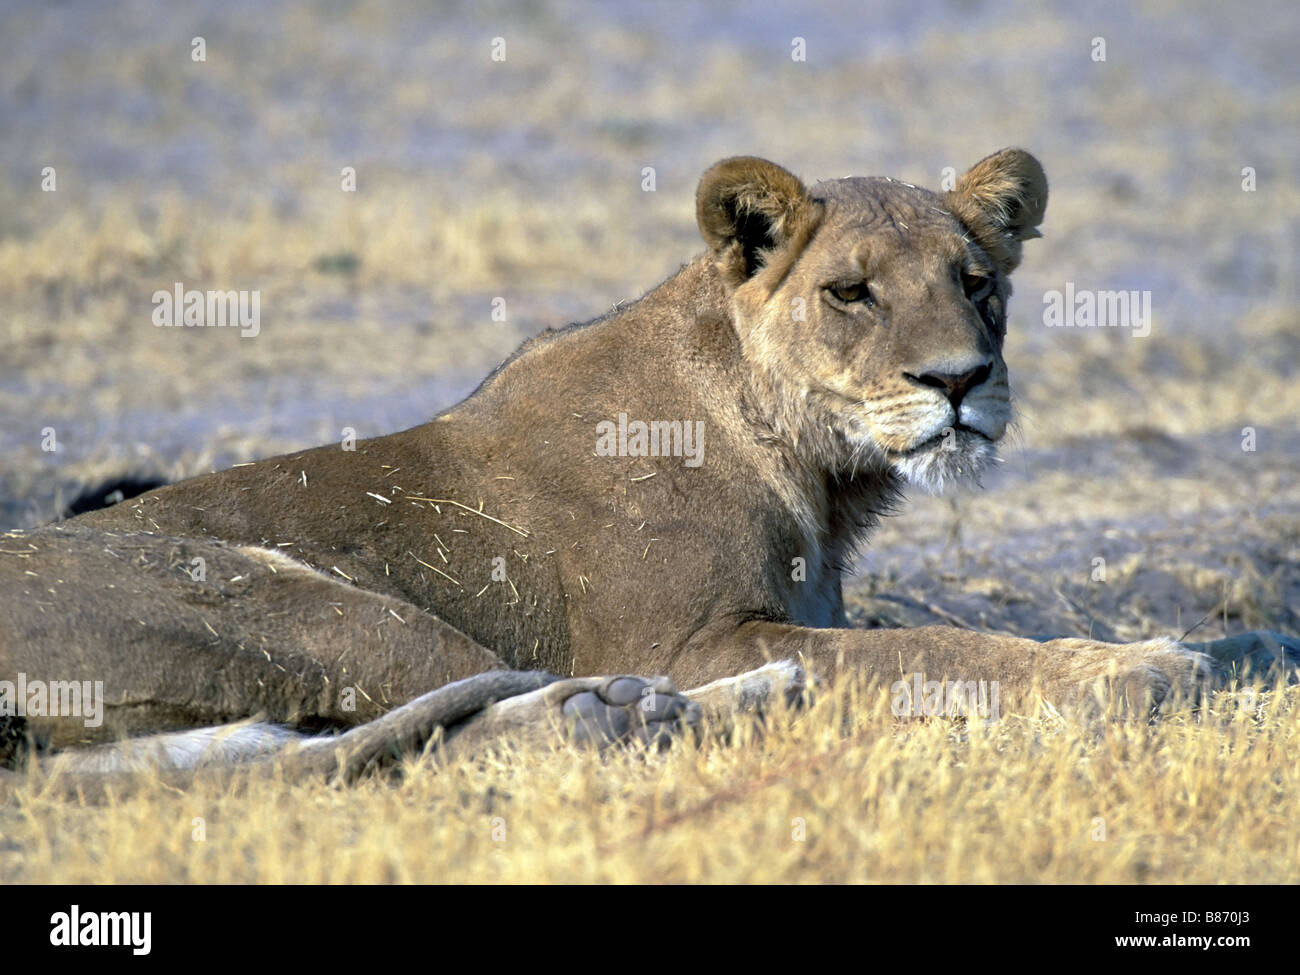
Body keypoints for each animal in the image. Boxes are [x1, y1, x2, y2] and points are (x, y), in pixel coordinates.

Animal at [2, 148, 1295, 797]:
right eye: (850, 292)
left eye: (977, 281)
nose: (962, 380)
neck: (812, 467)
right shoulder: (686, 632)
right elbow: (938, 651)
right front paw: (1143, 669)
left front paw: (1241, 647)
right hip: (306, 599)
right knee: (461, 717)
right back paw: (641, 710)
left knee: (257, 764)